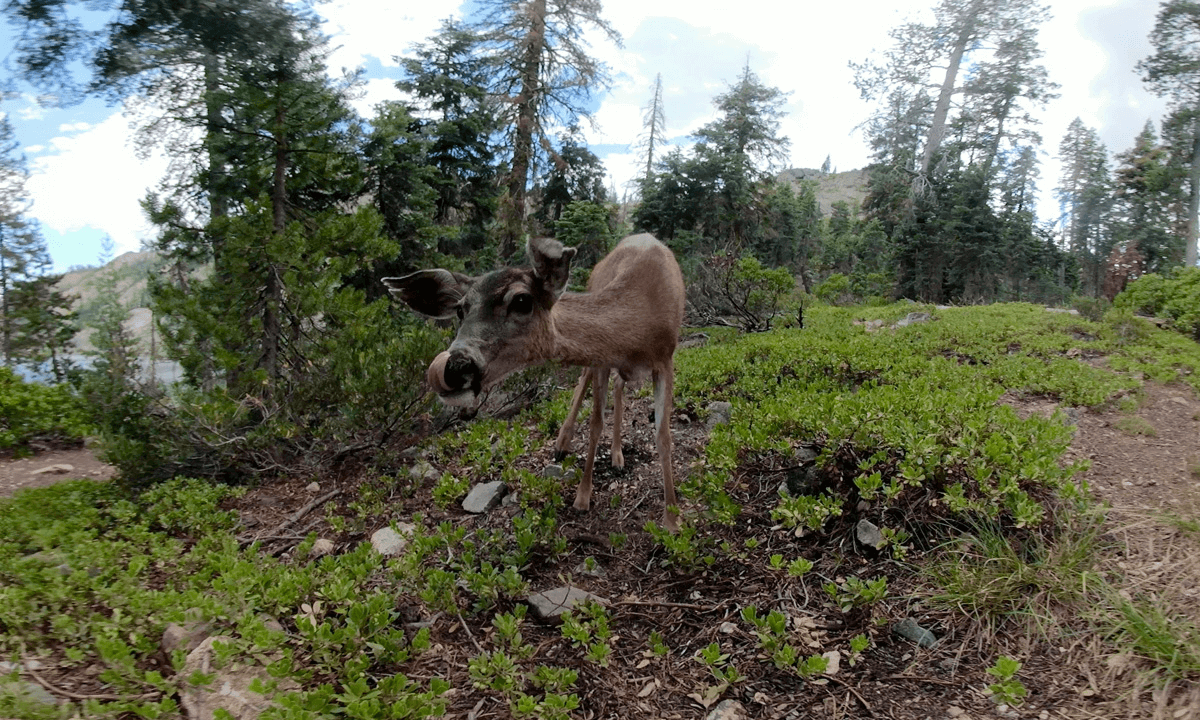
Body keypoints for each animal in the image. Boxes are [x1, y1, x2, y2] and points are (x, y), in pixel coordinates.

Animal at [382, 233, 686, 532]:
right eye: (460, 310)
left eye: (521, 301)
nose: (454, 367)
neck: (638, 324)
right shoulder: (602, 359)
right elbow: (595, 424)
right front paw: (582, 496)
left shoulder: (666, 358)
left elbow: (663, 436)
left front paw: (671, 520)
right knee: (588, 383)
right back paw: (566, 443)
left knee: (617, 386)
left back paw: (617, 456)